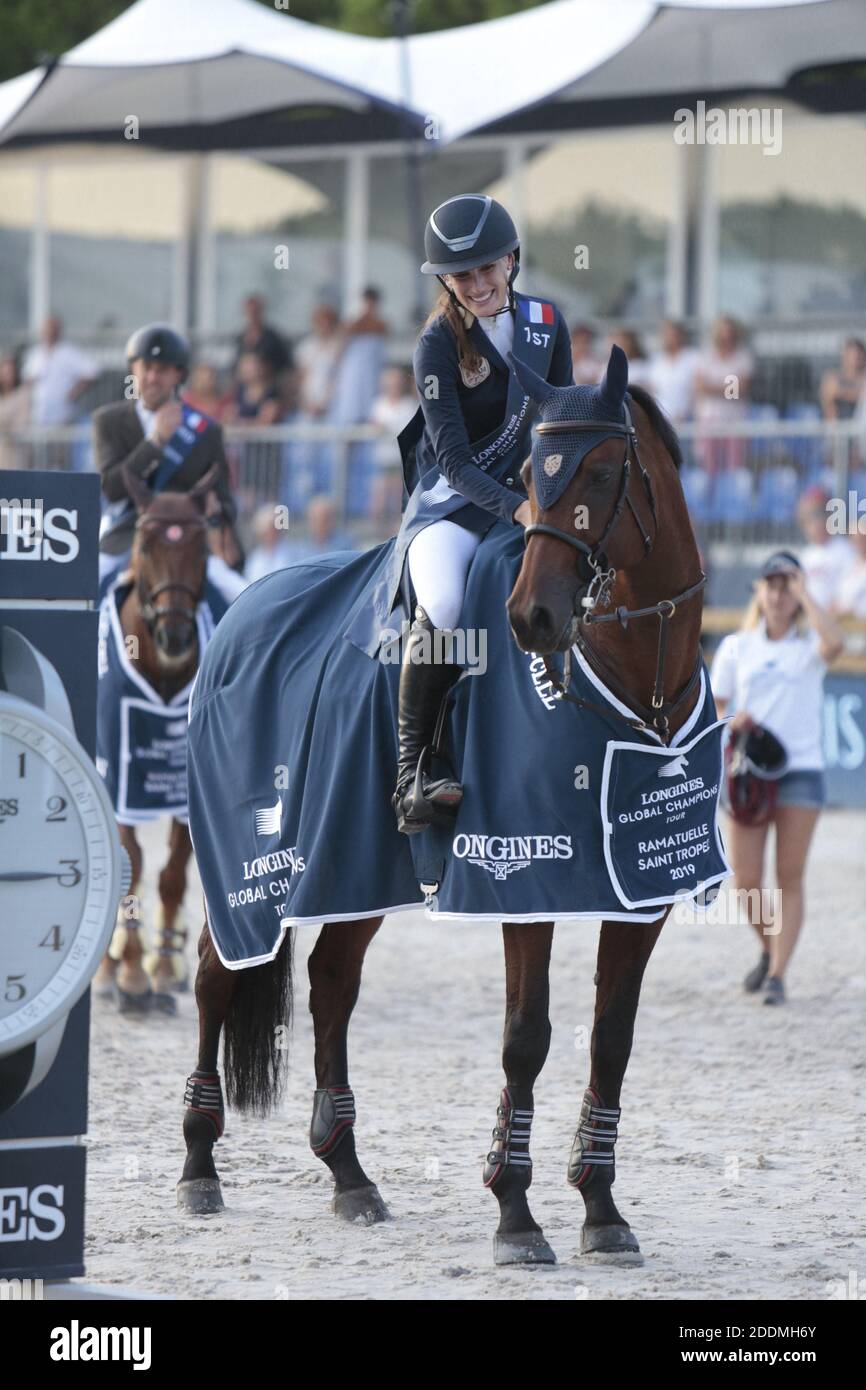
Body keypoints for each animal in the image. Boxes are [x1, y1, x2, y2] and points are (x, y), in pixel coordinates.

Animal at [177, 348, 711, 1268]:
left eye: (603, 471)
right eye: (531, 473)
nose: (533, 617)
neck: (630, 674)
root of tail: (240, 607)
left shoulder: (642, 893)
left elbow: (611, 1039)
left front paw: (601, 1208)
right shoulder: (521, 876)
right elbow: (526, 1039)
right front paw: (516, 1214)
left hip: (351, 870)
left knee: (331, 983)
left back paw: (349, 1176)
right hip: (250, 876)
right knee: (218, 976)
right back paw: (199, 1164)